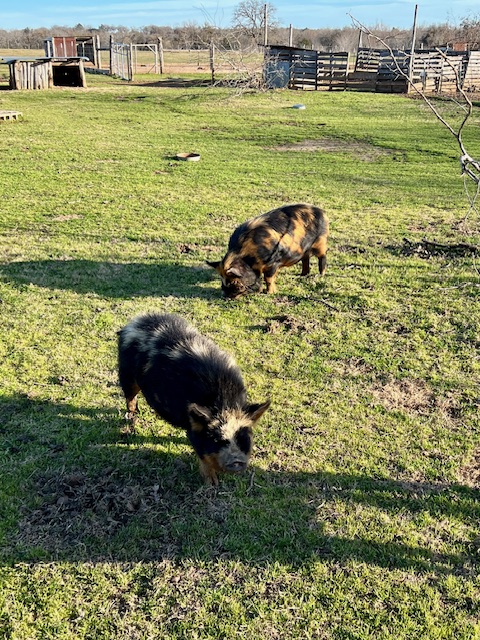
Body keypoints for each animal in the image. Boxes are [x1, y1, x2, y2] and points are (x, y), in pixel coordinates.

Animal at [117, 312, 270, 485]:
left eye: (244, 436)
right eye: (215, 438)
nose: (236, 461)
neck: (223, 402)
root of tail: (135, 322)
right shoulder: (192, 428)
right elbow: (203, 456)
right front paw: (212, 484)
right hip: (126, 373)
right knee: (129, 395)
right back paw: (132, 416)